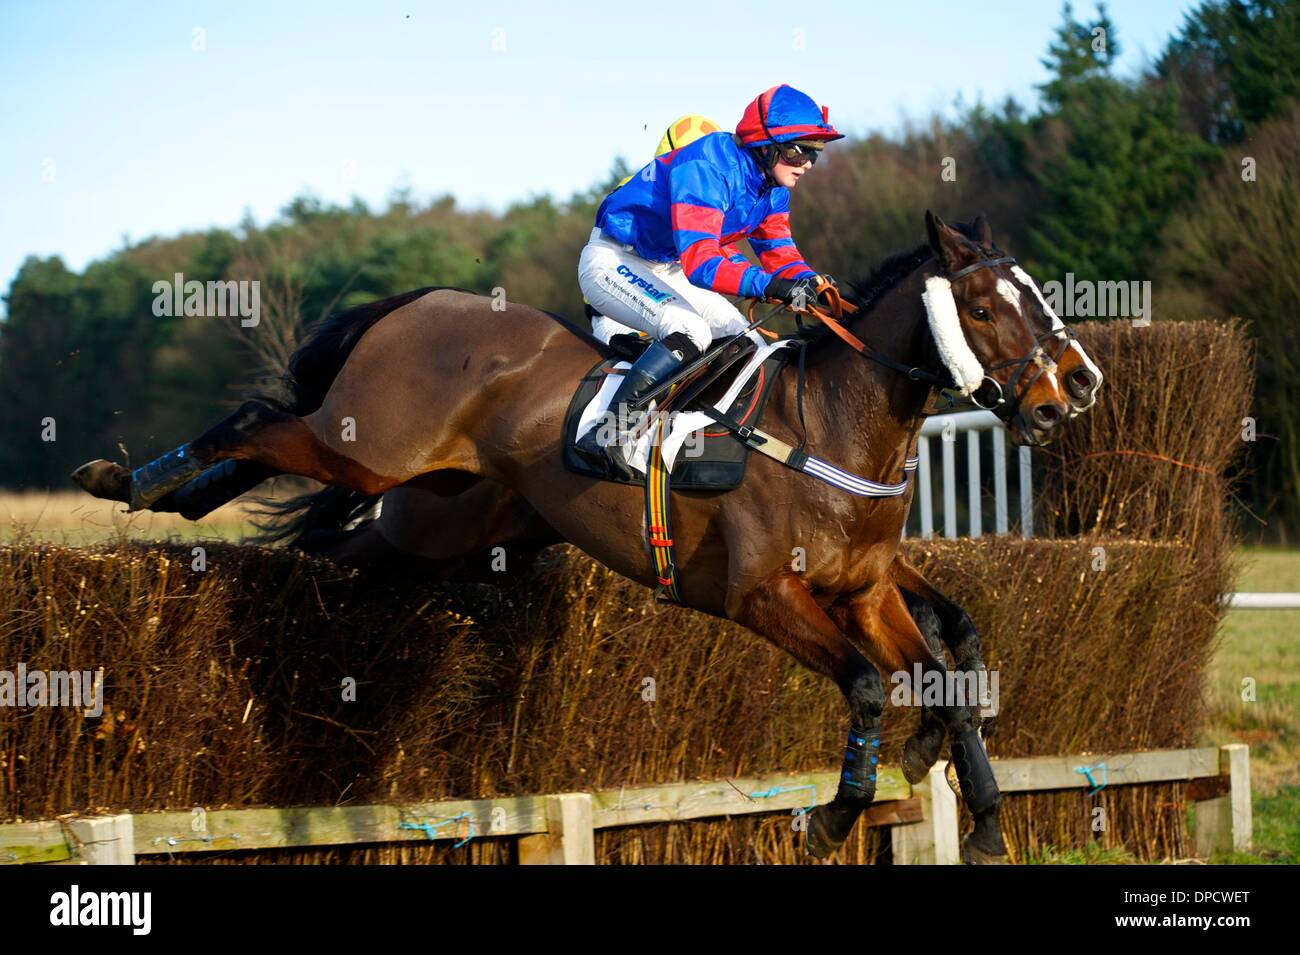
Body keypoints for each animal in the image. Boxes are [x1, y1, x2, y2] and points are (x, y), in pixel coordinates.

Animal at [73, 212, 1102, 862]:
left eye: (1037, 297)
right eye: (984, 306)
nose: (1071, 390)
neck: (835, 424)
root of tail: (425, 300)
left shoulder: (867, 588)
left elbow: (947, 671)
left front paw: (980, 815)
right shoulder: (763, 594)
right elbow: (868, 684)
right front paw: (830, 819)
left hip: (432, 522)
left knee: (321, 531)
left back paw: (183, 506)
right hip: (368, 448)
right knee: (258, 418)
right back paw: (131, 479)